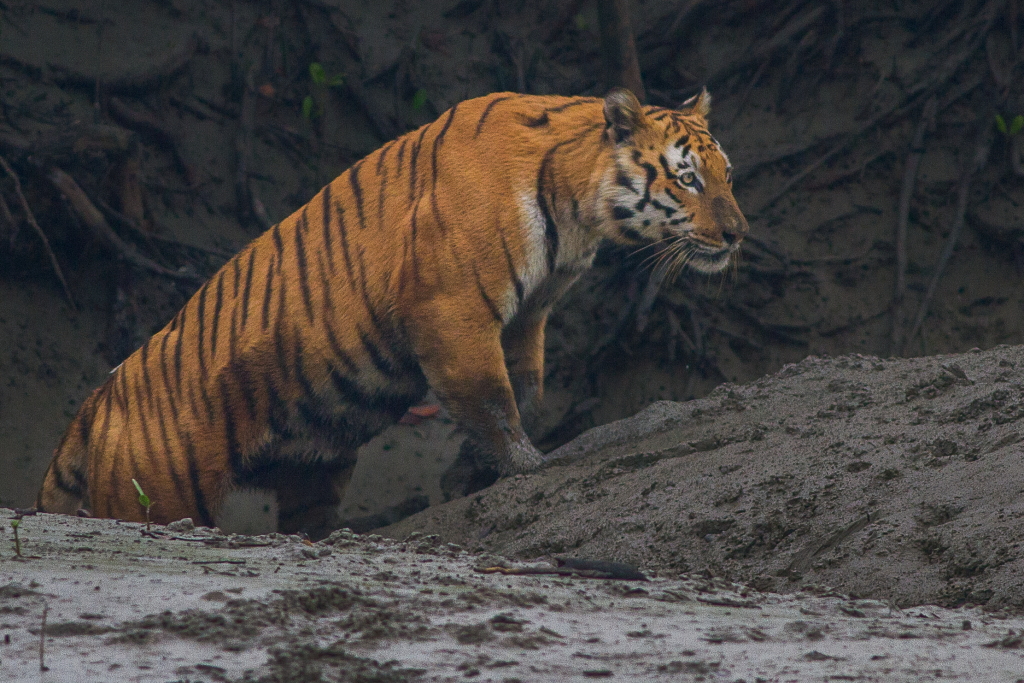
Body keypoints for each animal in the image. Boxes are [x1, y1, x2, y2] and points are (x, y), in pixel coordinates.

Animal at [36, 87, 748, 539]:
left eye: (729, 175)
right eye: (688, 179)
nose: (739, 233)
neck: (577, 211)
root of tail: (94, 404)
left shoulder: (527, 318)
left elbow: (522, 387)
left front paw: (473, 474)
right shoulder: (450, 310)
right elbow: (490, 400)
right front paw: (528, 467)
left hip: (315, 459)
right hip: (156, 492)